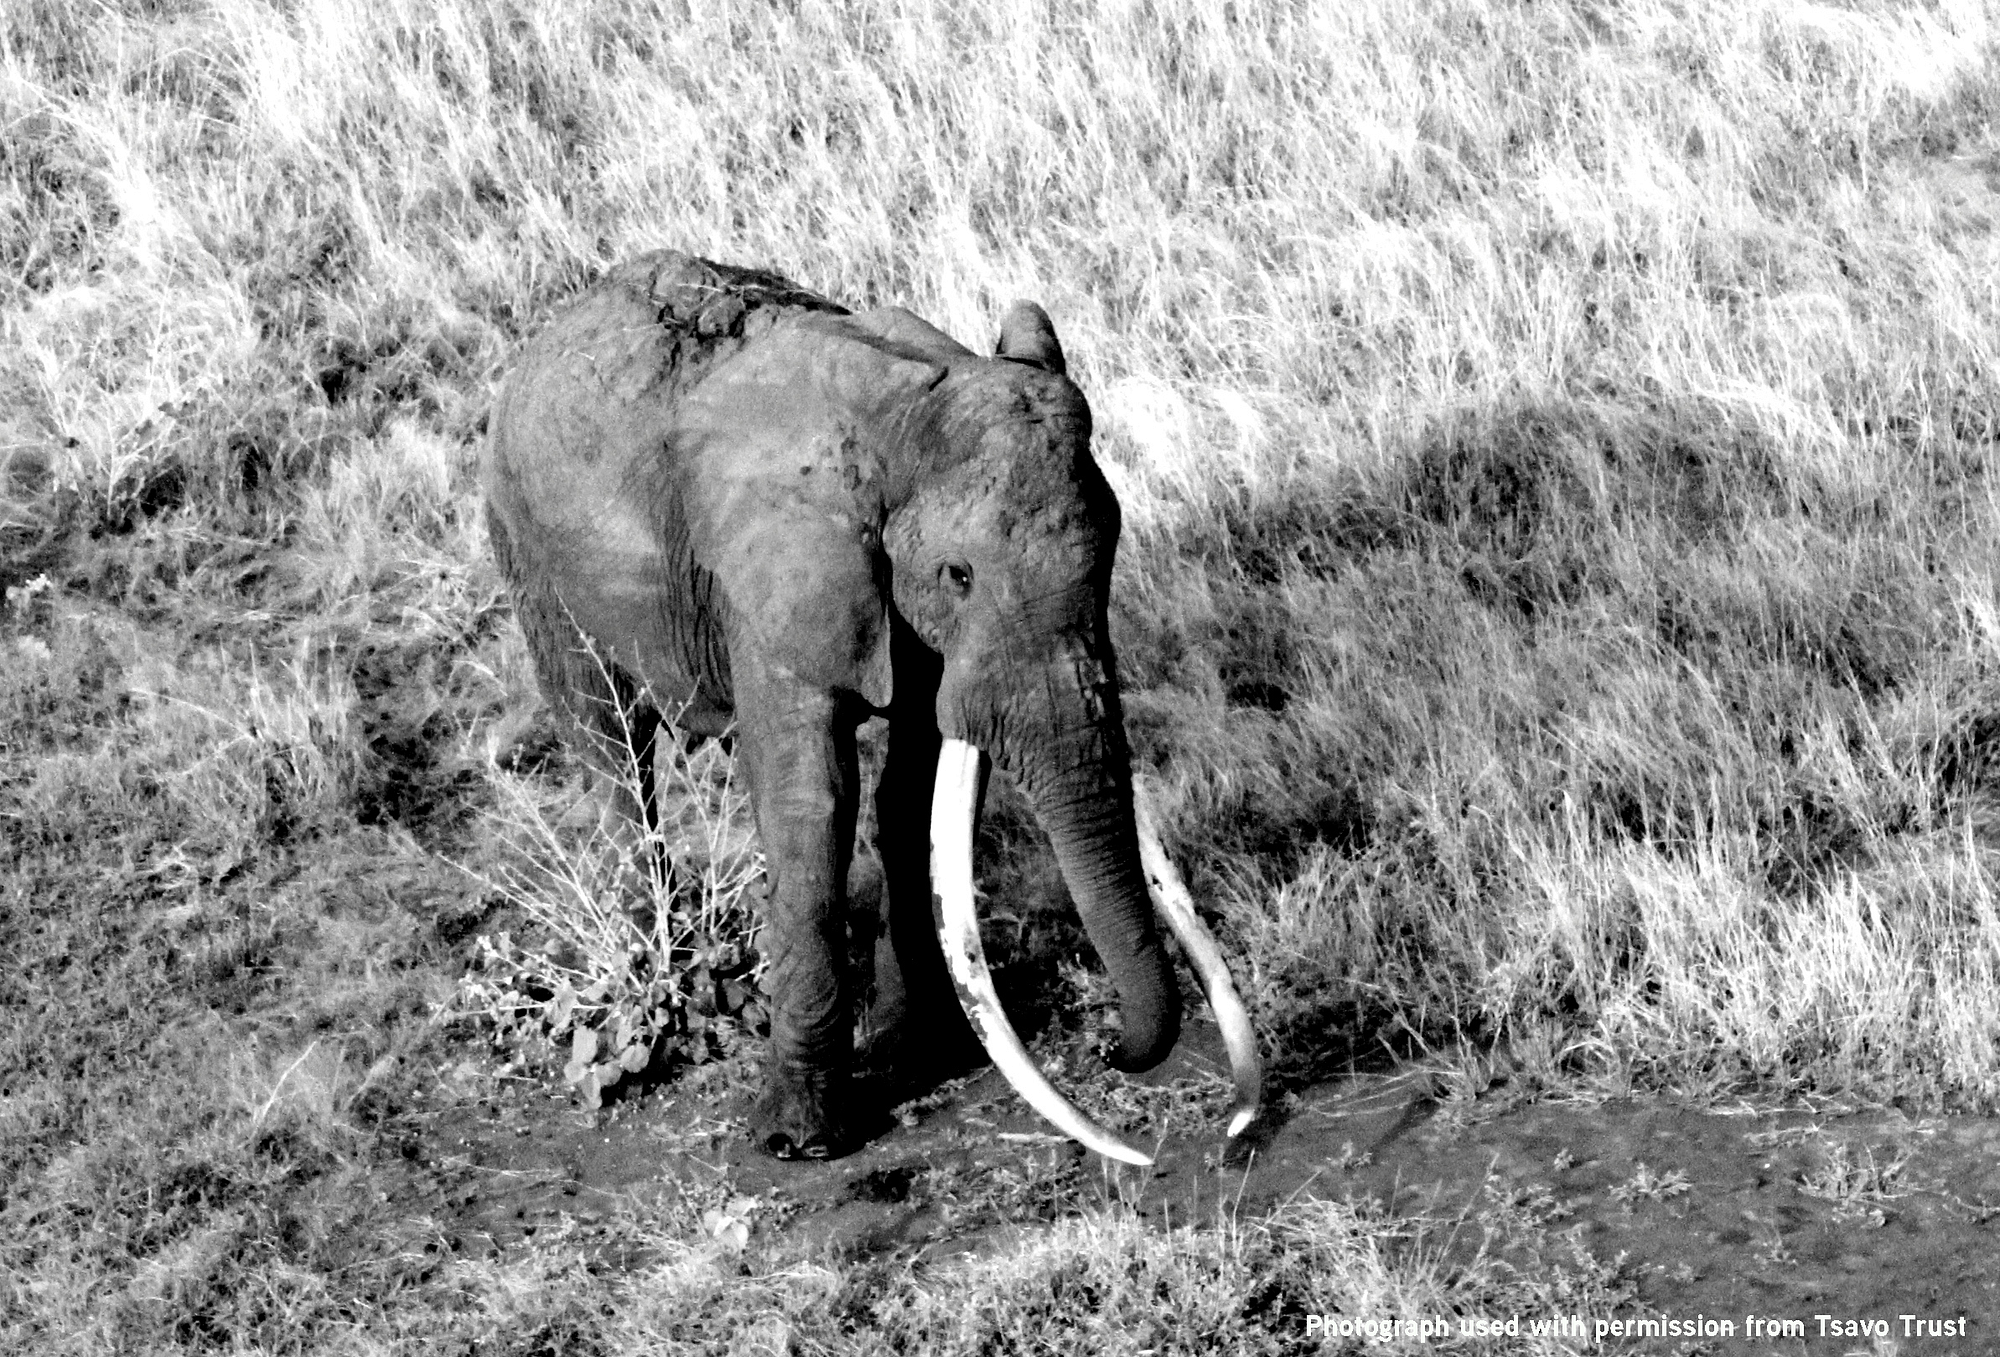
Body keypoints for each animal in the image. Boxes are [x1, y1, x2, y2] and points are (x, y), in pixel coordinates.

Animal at [483, 250, 1257, 1163]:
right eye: (959, 574)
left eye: (1109, 551)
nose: (1111, 1048)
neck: (903, 416)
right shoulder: (776, 577)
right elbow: (812, 801)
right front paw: (800, 1139)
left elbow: (914, 789)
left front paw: (916, 1050)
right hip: (528, 553)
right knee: (612, 753)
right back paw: (656, 963)